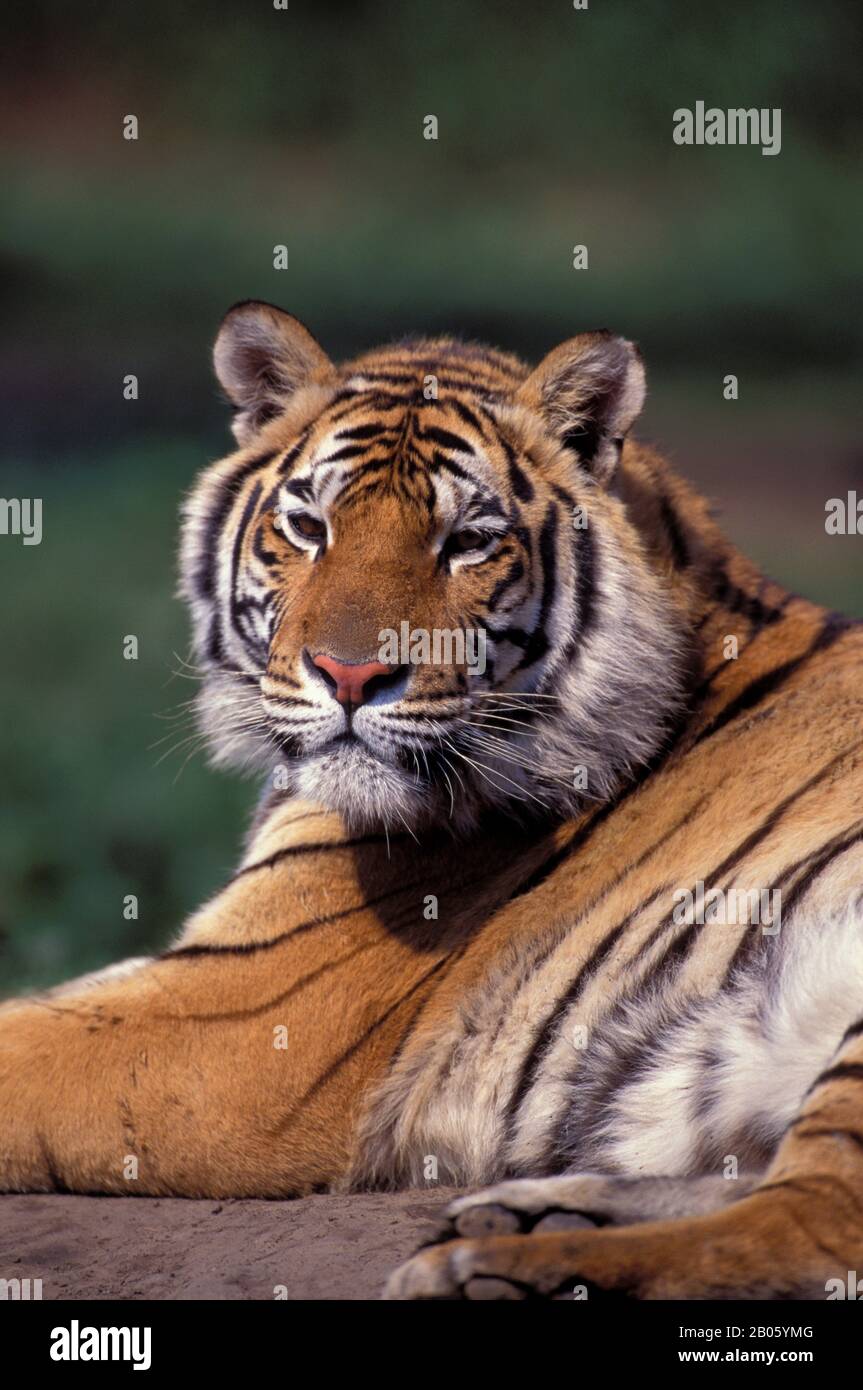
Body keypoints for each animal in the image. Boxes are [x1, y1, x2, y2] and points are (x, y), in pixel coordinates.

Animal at [1, 299, 861, 1302]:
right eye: (308, 526)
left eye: (468, 541)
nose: (348, 674)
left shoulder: (240, 1018)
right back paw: (532, 1212)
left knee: (812, 1223)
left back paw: (503, 1267)